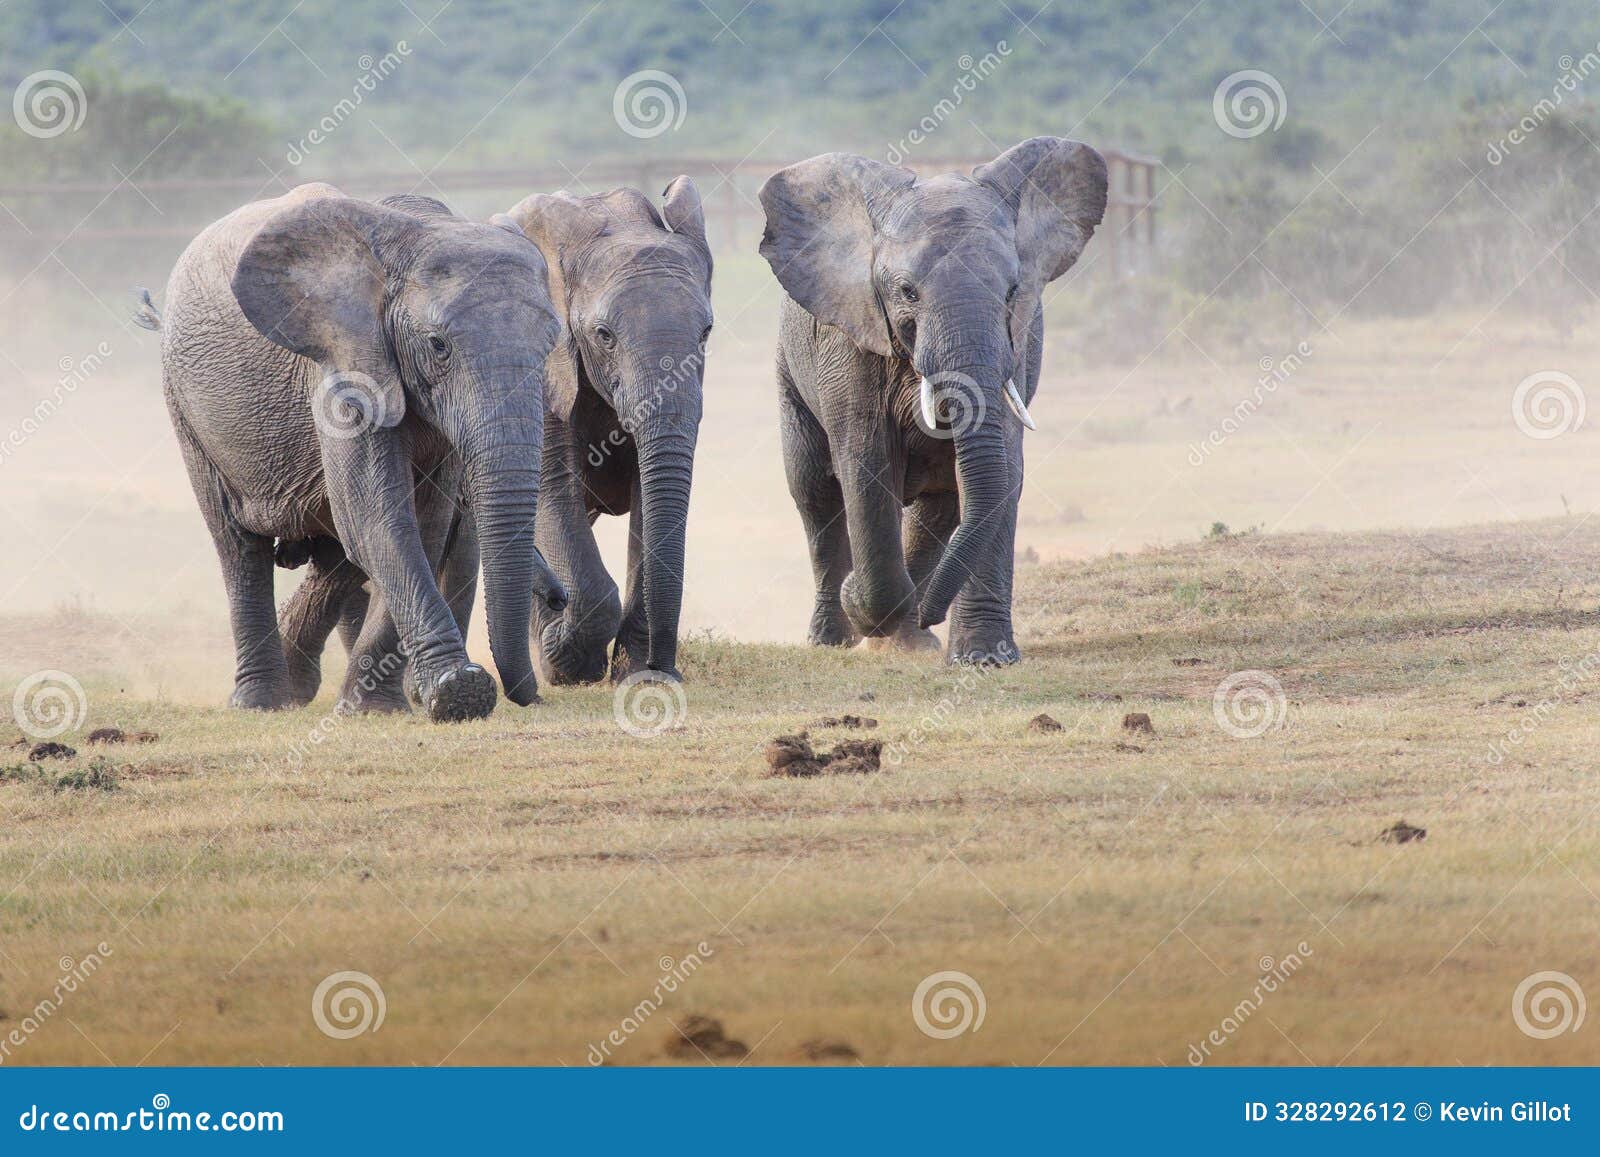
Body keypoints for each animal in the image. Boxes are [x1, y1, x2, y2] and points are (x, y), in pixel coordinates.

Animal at [154, 182, 568, 721]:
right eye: (438, 346)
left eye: (551, 344)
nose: (560, 601)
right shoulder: (344, 366)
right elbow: (379, 520)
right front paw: (460, 692)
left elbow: (420, 526)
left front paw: (376, 710)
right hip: (186, 409)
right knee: (237, 544)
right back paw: (260, 702)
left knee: (337, 556)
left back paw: (298, 684)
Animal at [275, 178, 714, 692]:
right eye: (604, 335)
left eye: (706, 333)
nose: (667, 671)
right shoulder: (545, 376)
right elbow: (553, 491)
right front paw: (566, 662)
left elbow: (653, 493)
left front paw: (634, 673)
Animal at [757, 137, 1107, 664]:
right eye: (907, 292)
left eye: (1012, 292)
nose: (930, 615)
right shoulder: (850, 341)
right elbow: (865, 462)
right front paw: (859, 600)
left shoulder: (1016, 345)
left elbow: (999, 467)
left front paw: (984, 661)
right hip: (789, 373)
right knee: (814, 492)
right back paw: (838, 637)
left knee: (939, 504)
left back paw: (912, 636)